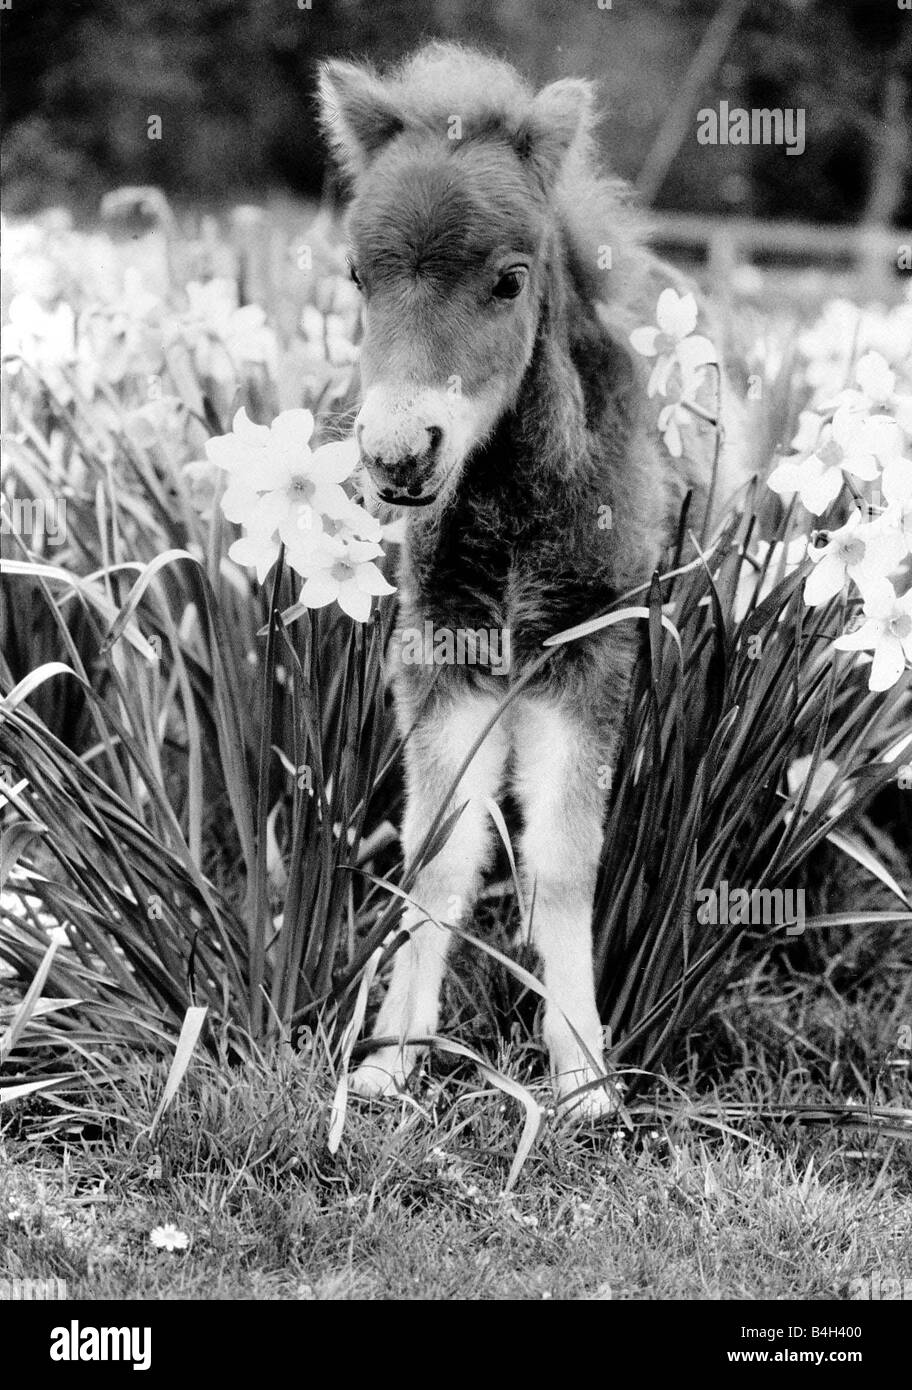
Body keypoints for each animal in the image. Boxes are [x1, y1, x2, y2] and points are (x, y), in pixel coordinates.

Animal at [318, 42, 747, 1114]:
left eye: (510, 281)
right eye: (358, 275)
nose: (397, 457)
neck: (517, 515)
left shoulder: (593, 665)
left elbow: (562, 865)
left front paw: (585, 1078)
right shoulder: (444, 663)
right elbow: (437, 859)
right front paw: (391, 1060)